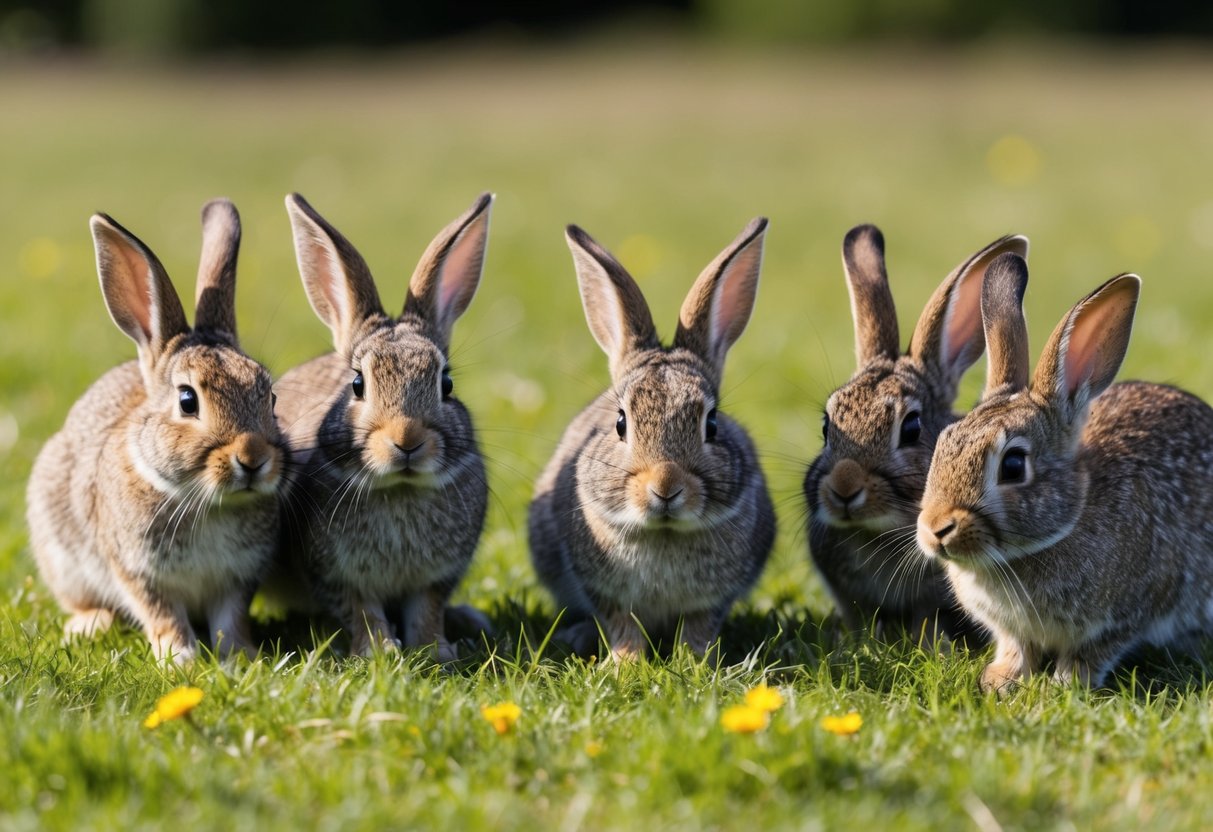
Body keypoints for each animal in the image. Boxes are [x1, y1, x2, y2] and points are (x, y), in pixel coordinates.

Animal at [25, 200, 288, 663]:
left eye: (270, 397)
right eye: (187, 401)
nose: (254, 459)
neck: (207, 502)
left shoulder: (237, 582)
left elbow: (231, 620)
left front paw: (240, 657)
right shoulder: (139, 573)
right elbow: (164, 615)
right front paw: (180, 660)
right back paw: (90, 624)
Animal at [273, 193, 492, 660]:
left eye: (446, 384)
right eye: (357, 384)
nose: (406, 440)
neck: (400, 488)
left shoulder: (436, 578)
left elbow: (427, 609)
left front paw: (434, 650)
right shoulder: (335, 574)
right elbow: (362, 610)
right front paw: (379, 652)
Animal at [528, 219, 776, 659]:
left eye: (712, 424)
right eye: (620, 423)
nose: (665, 487)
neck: (664, 532)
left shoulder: (712, 600)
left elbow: (698, 626)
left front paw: (694, 661)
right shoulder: (606, 592)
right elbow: (621, 624)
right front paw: (625, 664)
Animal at [804, 225, 1026, 642]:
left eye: (911, 428)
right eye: (826, 426)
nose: (844, 489)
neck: (876, 532)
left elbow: (928, 618)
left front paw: (930, 645)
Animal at [917, 252, 1213, 691]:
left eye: (1013, 466)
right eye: (942, 443)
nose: (935, 529)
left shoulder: (1131, 611)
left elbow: (1093, 652)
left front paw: (1065, 684)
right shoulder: (1012, 630)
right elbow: (1015, 647)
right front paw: (1001, 680)